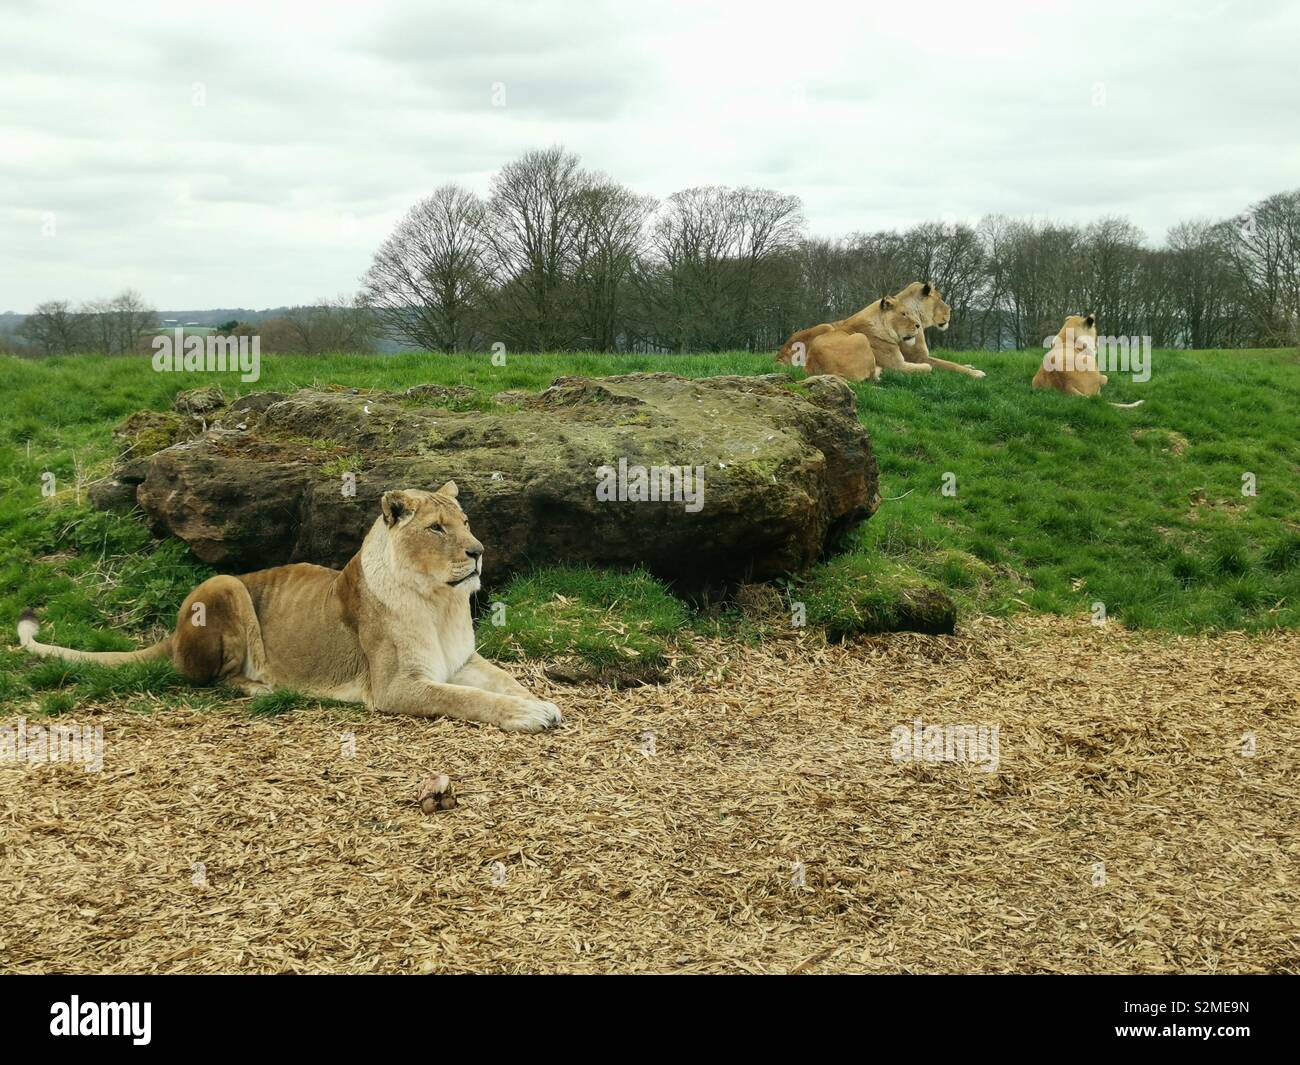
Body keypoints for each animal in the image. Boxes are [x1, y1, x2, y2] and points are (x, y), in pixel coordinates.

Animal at [17, 482, 563, 733]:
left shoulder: (462, 659)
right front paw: (528, 714)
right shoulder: (397, 686)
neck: (440, 600)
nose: (478, 552)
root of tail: (170, 637)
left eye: (465, 522)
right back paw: (264, 688)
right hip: (224, 587)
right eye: (435, 528)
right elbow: (470, 699)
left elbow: (503, 681)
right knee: (211, 679)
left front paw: (540, 700)